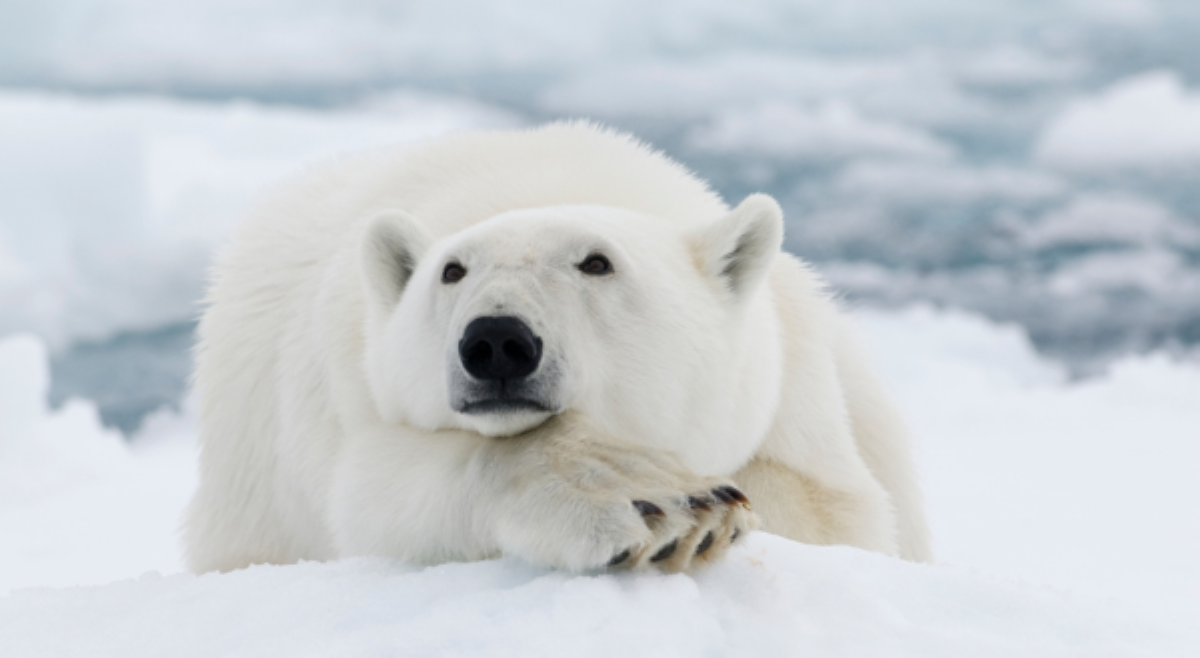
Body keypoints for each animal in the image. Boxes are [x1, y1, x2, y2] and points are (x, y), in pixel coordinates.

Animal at [184, 122, 931, 574]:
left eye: (597, 262)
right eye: (452, 270)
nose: (496, 341)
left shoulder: (792, 389)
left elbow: (836, 511)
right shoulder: (349, 391)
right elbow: (378, 491)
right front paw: (657, 500)